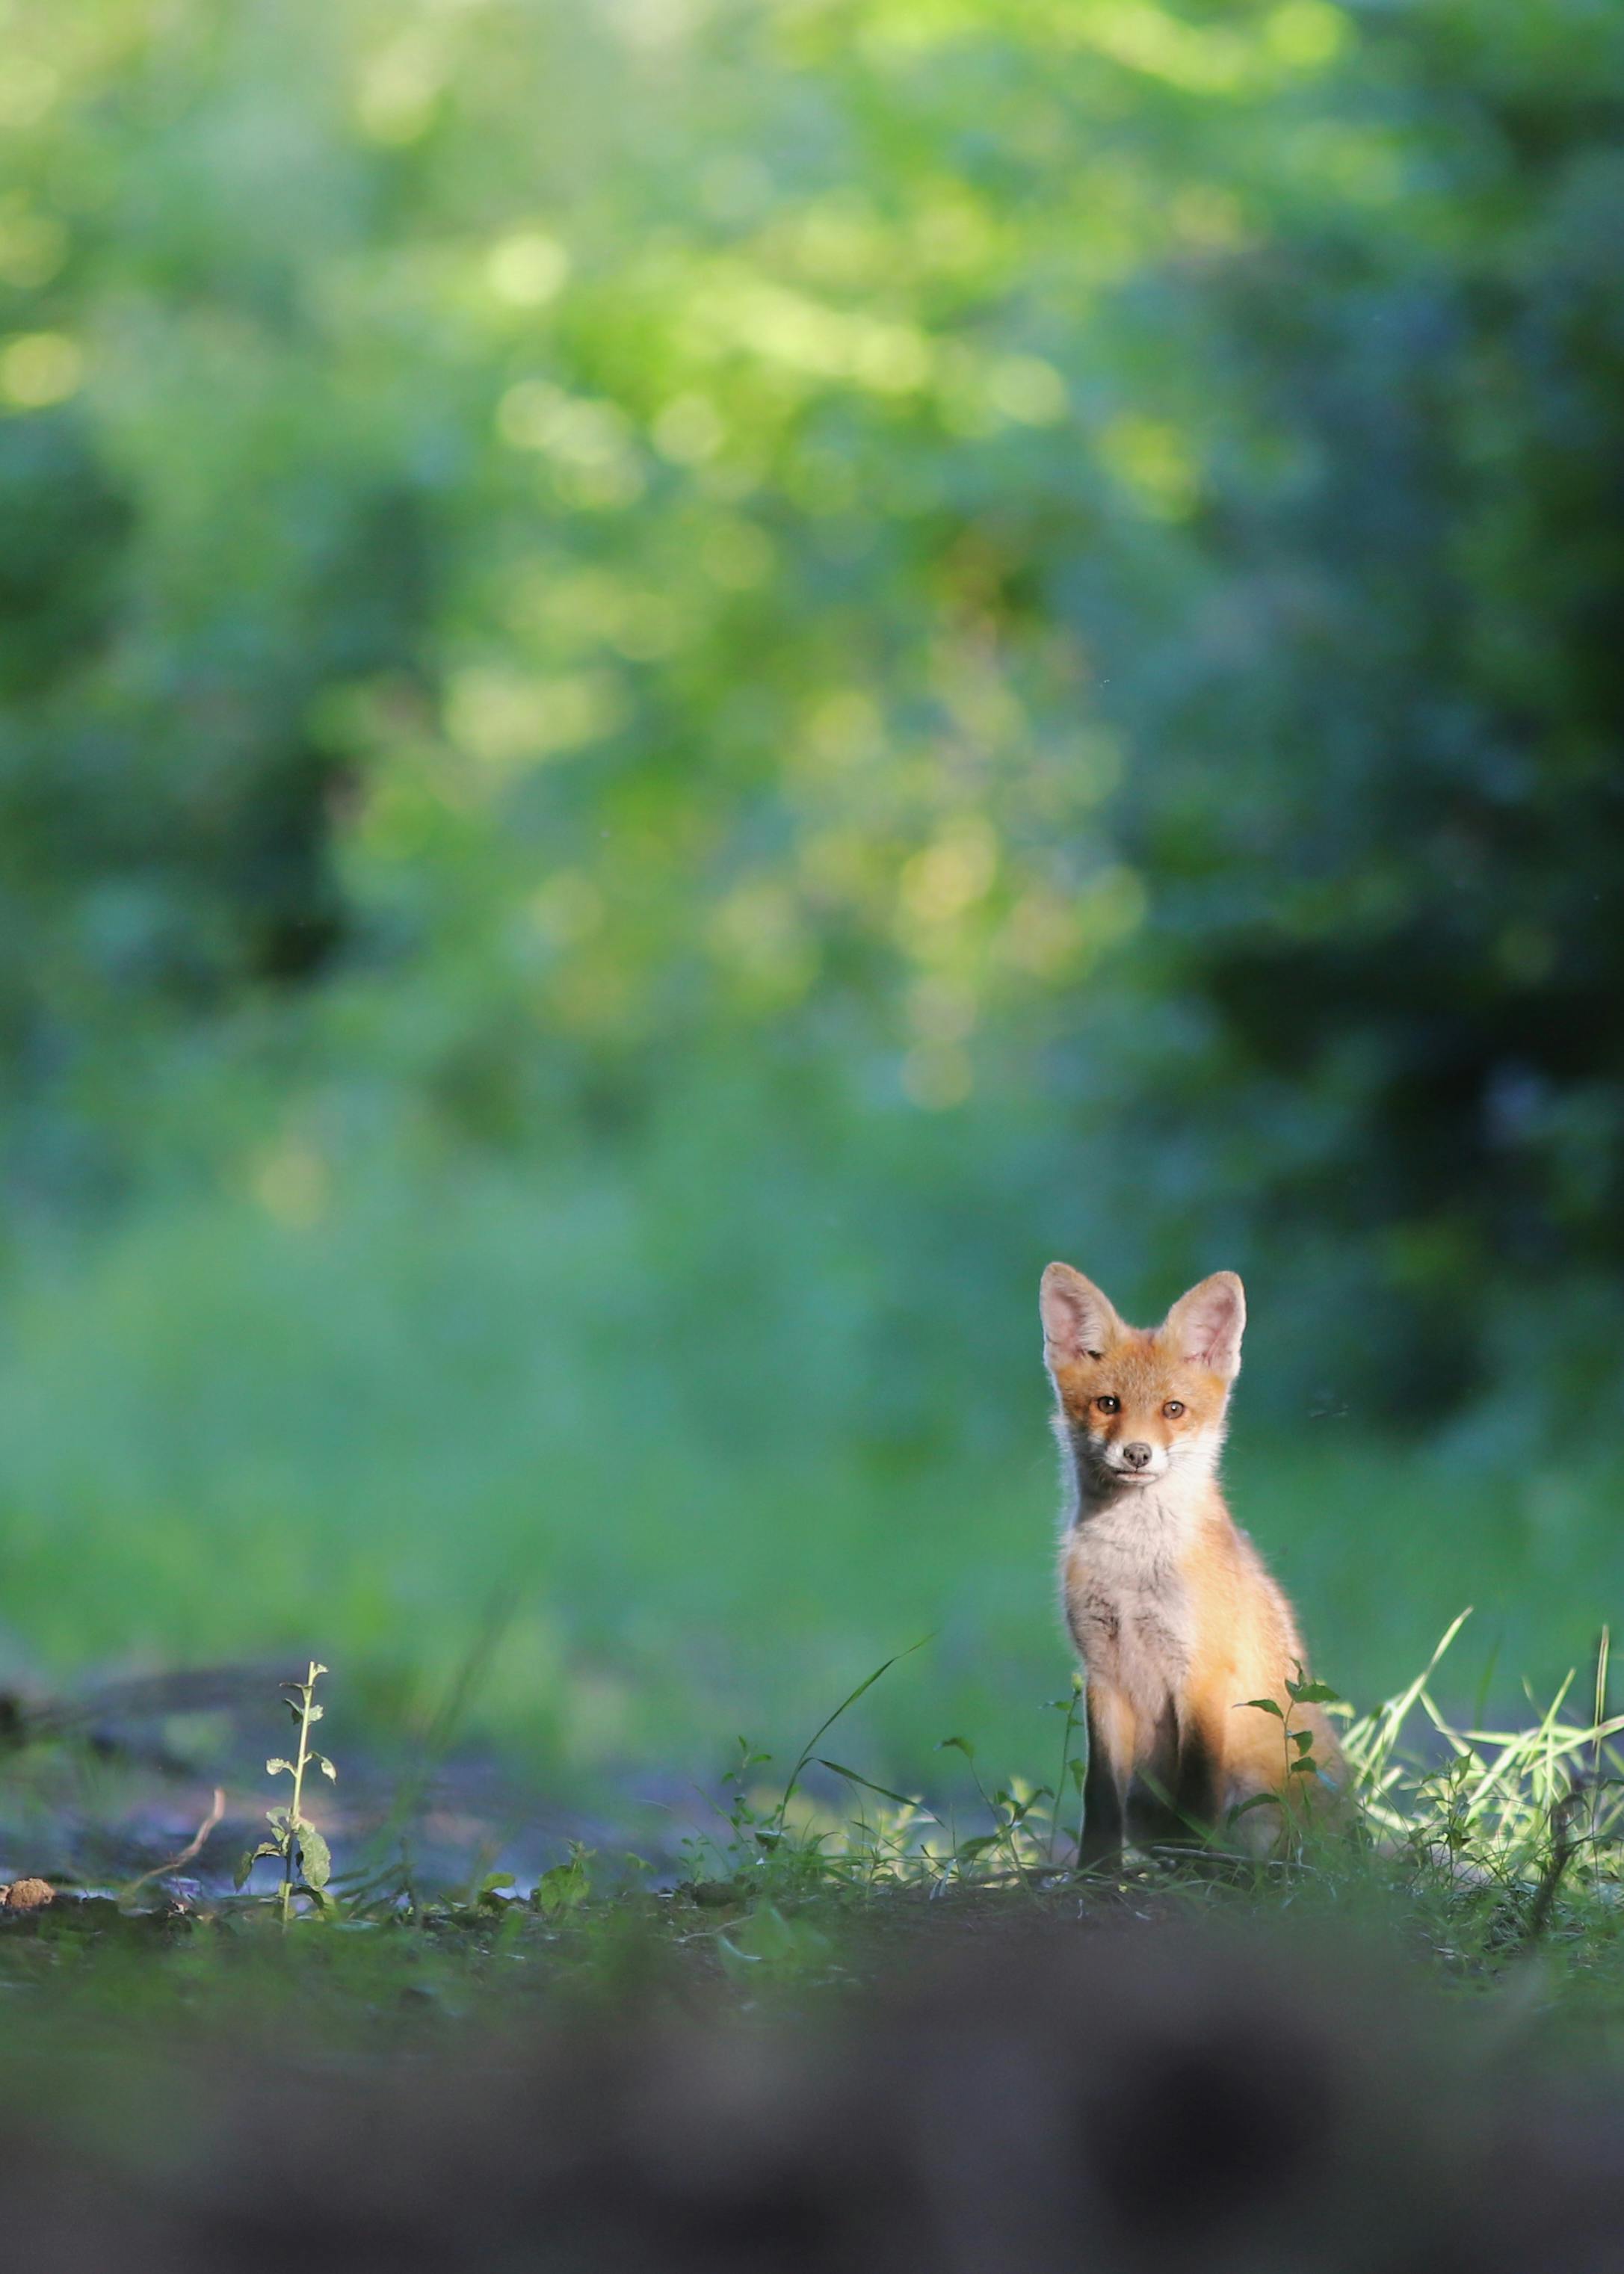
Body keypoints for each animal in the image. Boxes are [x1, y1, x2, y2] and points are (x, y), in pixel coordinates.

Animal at [1040, 1262, 1343, 1864]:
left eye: (1173, 1410)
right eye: (1108, 1404)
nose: (1137, 1453)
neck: (1132, 1573)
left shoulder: (1201, 1673)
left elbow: (1196, 1793)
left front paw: (1192, 1866)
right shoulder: (1102, 1673)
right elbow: (1098, 1798)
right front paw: (1096, 1873)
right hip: (1144, 1801)